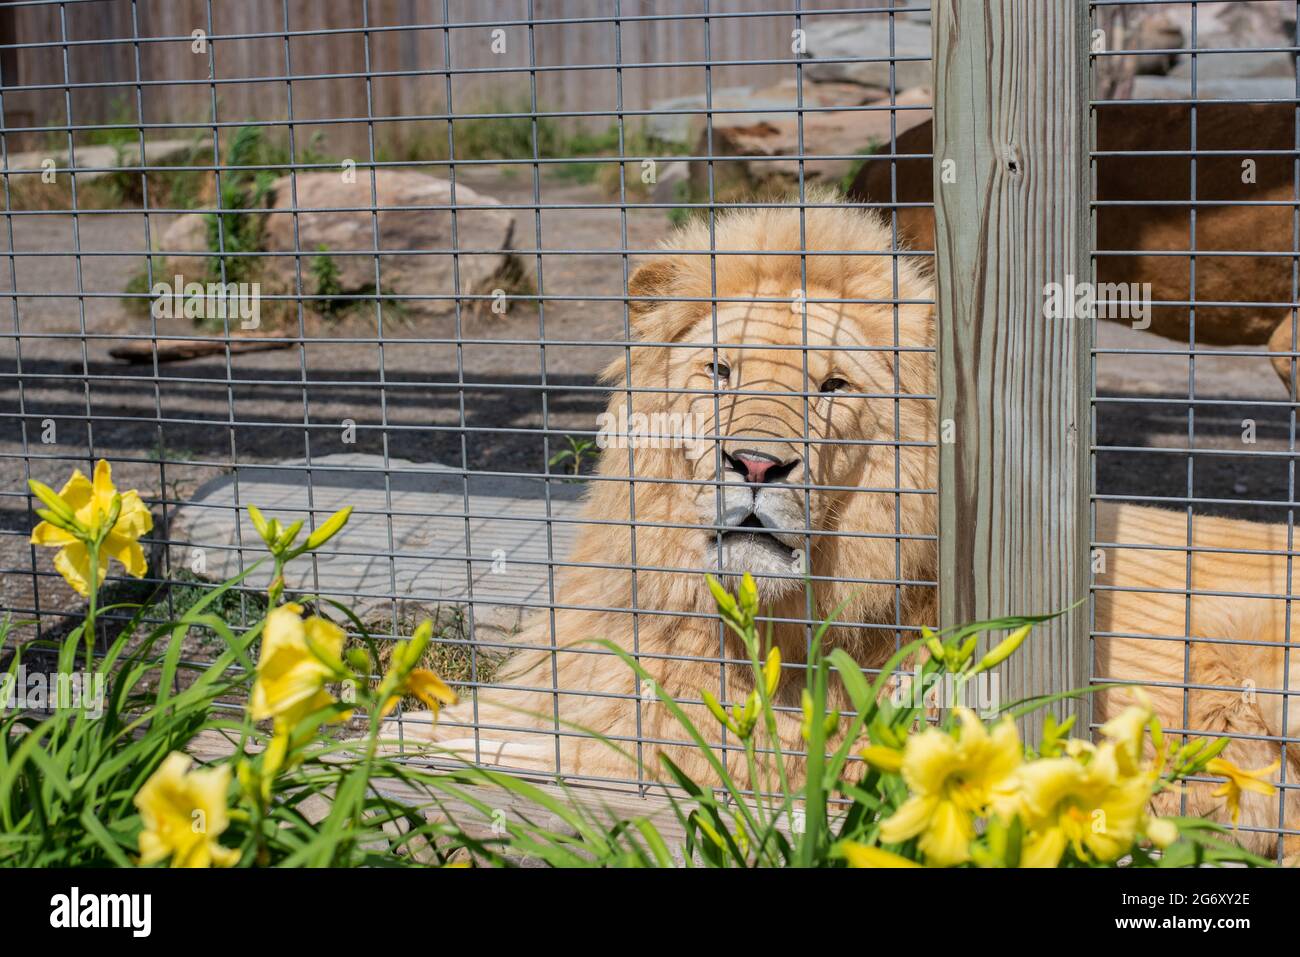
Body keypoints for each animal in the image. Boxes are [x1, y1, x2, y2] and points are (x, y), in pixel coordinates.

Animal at [400, 201, 1299, 859]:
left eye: (830, 385)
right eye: (719, 371)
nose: (757, 465)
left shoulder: (739, 757)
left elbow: (540, 759)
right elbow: (457, 728)